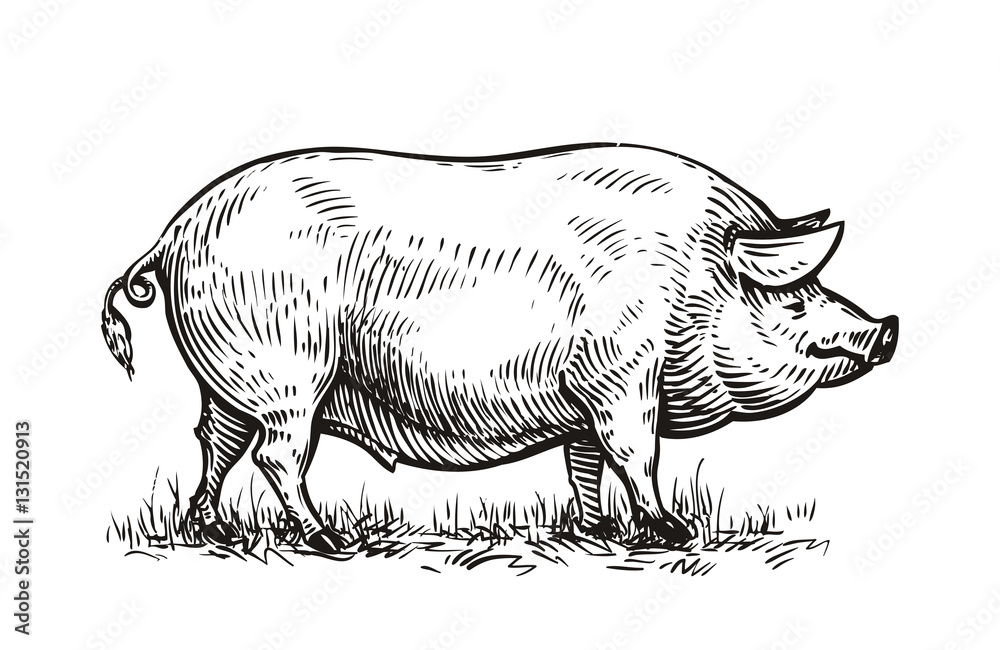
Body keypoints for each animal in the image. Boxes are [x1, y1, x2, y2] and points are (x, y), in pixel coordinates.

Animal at [101, 143, 897, 552]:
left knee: (215, 442)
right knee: (276, 455)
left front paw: (596, 530)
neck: (690, 289)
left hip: (230, 379)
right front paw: (674, 534)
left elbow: (585, 465)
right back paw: (333, 539)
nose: (887, 328)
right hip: (287, 372)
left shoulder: (583, 398)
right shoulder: (623, 379)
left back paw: (206, 528)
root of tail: (173, 235)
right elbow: (636, 455)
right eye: (795, 296)